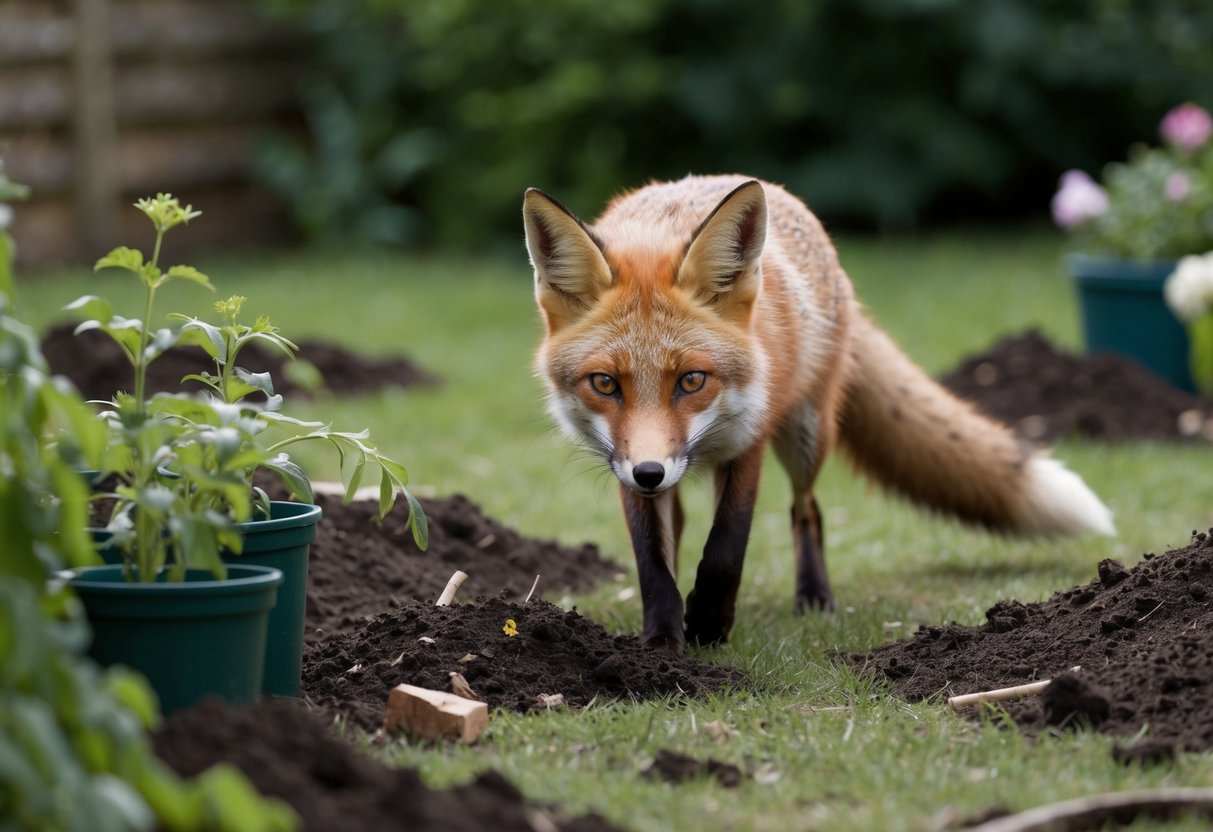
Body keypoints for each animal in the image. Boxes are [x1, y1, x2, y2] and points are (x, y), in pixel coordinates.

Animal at [522, 174, 1115, 652]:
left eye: (692, 380)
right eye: (605, 384)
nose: (650, 473)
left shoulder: (750, 440)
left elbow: (725, 549)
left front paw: (709, 625)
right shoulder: (623, 463)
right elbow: (652, 562)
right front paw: (662, 643)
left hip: (807, 434)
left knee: (806, 511)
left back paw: (813, 596)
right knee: (690, 522)